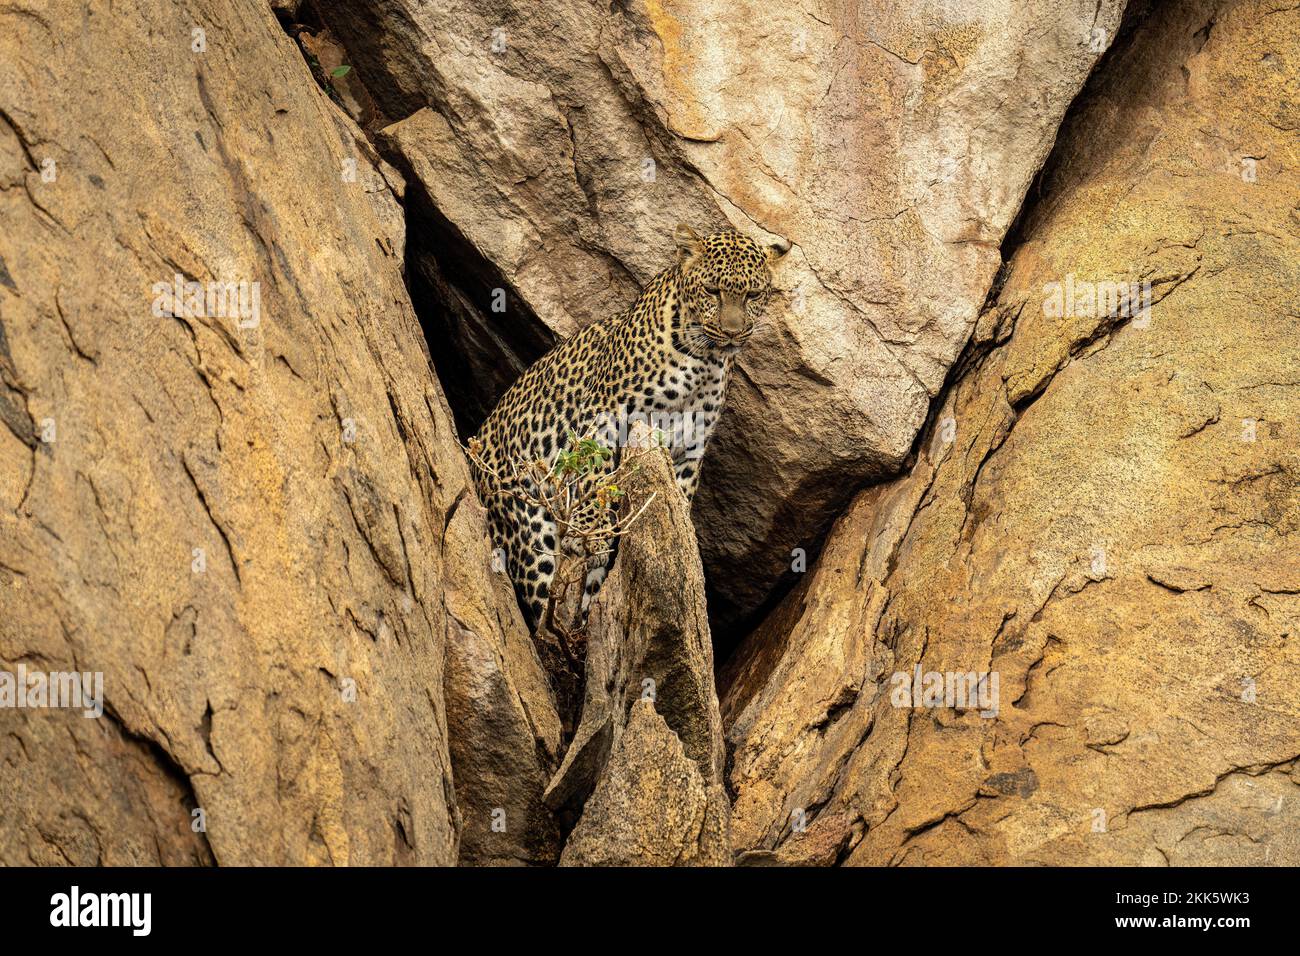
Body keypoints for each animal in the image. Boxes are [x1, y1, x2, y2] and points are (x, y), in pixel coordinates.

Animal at [470, 224, 789, 631]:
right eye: (712, 291)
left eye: (753, 294)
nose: (732, 332)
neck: (705, 360)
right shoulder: (605, 413)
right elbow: (594, 474)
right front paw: (589, 531)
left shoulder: (690, 445)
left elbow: (680, 496)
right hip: (528, 527)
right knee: (540, 606)